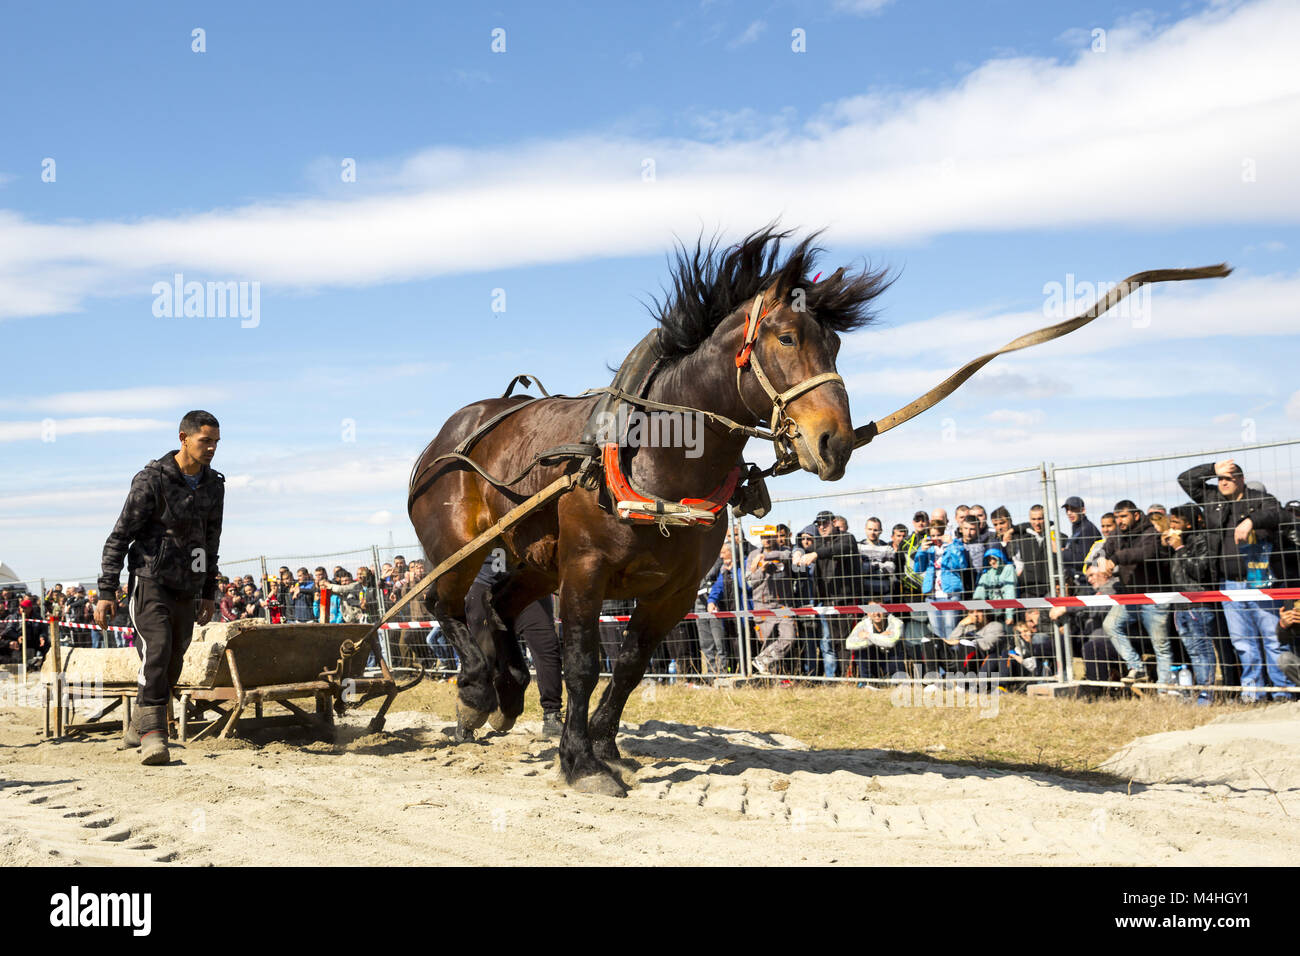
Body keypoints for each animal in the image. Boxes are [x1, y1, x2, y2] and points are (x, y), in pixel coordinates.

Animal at [407, 226, 890, 795]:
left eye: (834, 344)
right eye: (788, 338)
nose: (836, 442)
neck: (660, 462)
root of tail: (444, 439)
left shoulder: (676, 590)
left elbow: (631, 666)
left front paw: (604, 747)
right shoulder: (585, 570)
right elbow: (581, 665)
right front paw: (580, 761)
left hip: (536, 560)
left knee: (496, 604)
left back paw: (507, 689)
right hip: (457, 547)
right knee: (442, 603)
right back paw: (477, 690)